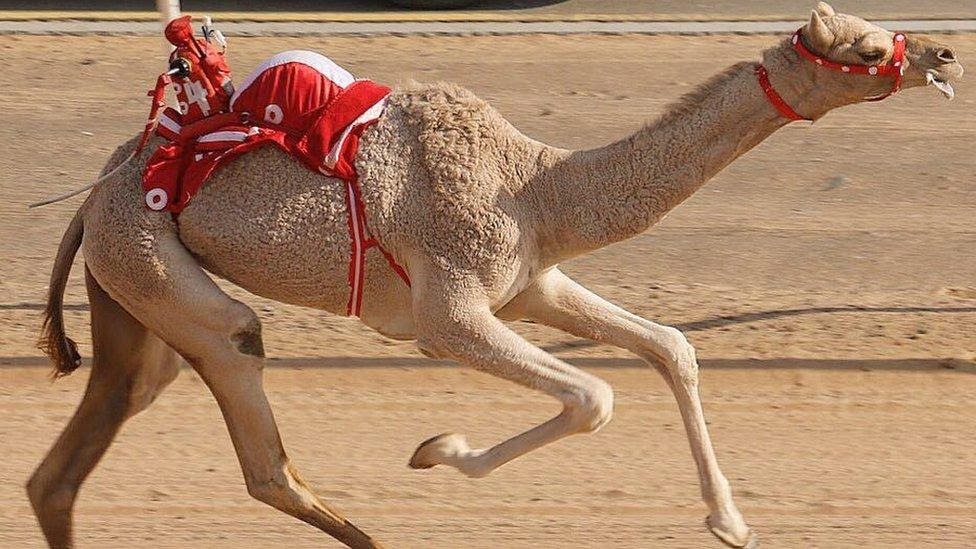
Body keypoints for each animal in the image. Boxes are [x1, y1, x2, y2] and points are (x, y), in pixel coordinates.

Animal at [28, 3, 963, 548]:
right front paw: (438, 450)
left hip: (129, 293)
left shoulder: (530, 280)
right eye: (867, 45)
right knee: (247, 387)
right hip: (149, 258)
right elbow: (594, 395)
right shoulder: (448, 312)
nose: (945, 53)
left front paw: (730, 520)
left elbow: (671, 346)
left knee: (73, 458)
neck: (533, 183)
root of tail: (96, 194)